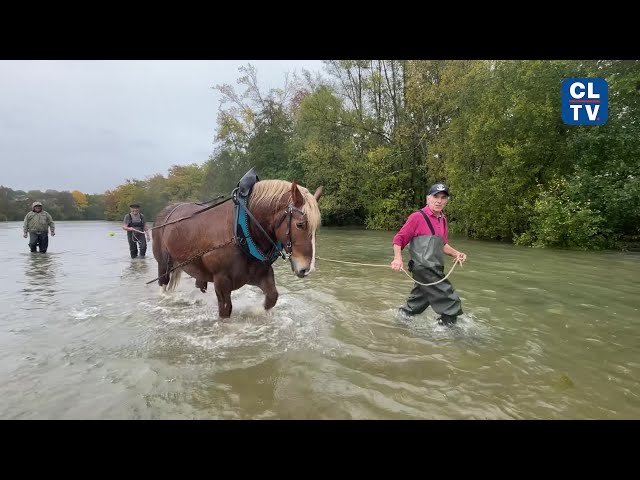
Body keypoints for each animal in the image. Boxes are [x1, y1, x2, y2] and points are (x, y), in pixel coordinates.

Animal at [151, 175, 323, 320]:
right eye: (300, 224)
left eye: (316, 228)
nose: (307, 269)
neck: (242, 230)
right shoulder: (221, 280)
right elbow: (225, 310)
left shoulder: (261, 273)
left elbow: (272, 297)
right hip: (164, 263)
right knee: (163, 283)